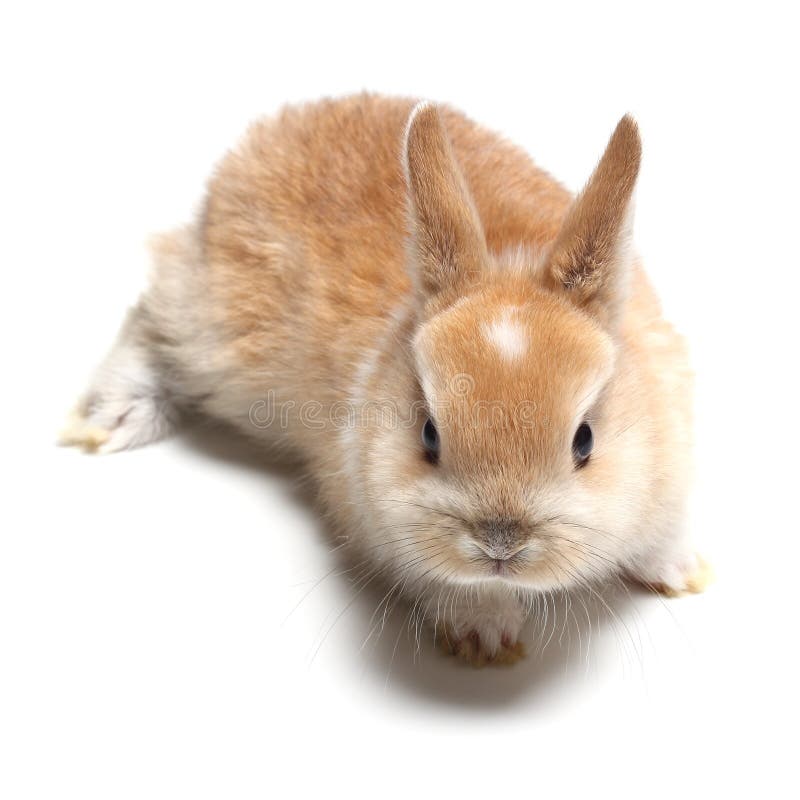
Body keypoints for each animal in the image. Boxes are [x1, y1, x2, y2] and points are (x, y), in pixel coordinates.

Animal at [61, 94, 711, 666]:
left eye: (584, 441)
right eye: (429, 435)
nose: (500, 544)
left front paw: (683, 573)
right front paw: (486, 635)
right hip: (216, 334)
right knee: (151, 314)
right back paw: (107, 418)